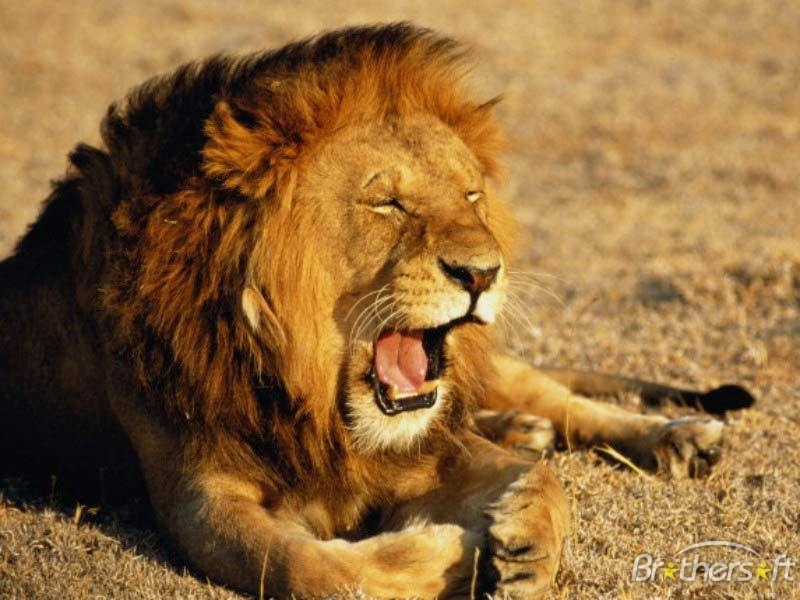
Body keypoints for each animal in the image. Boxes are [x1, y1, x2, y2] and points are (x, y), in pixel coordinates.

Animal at [0, 24, 753, 598]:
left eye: (472, 196)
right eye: (387, 203)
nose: (483, 272)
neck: (312, 395)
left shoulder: (427, 445)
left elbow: (546, 482)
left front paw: (525, 551)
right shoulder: (200, 496)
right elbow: (308, 567)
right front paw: (450, 550)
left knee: (553, 394)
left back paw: (677, 438)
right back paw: (527, 431)